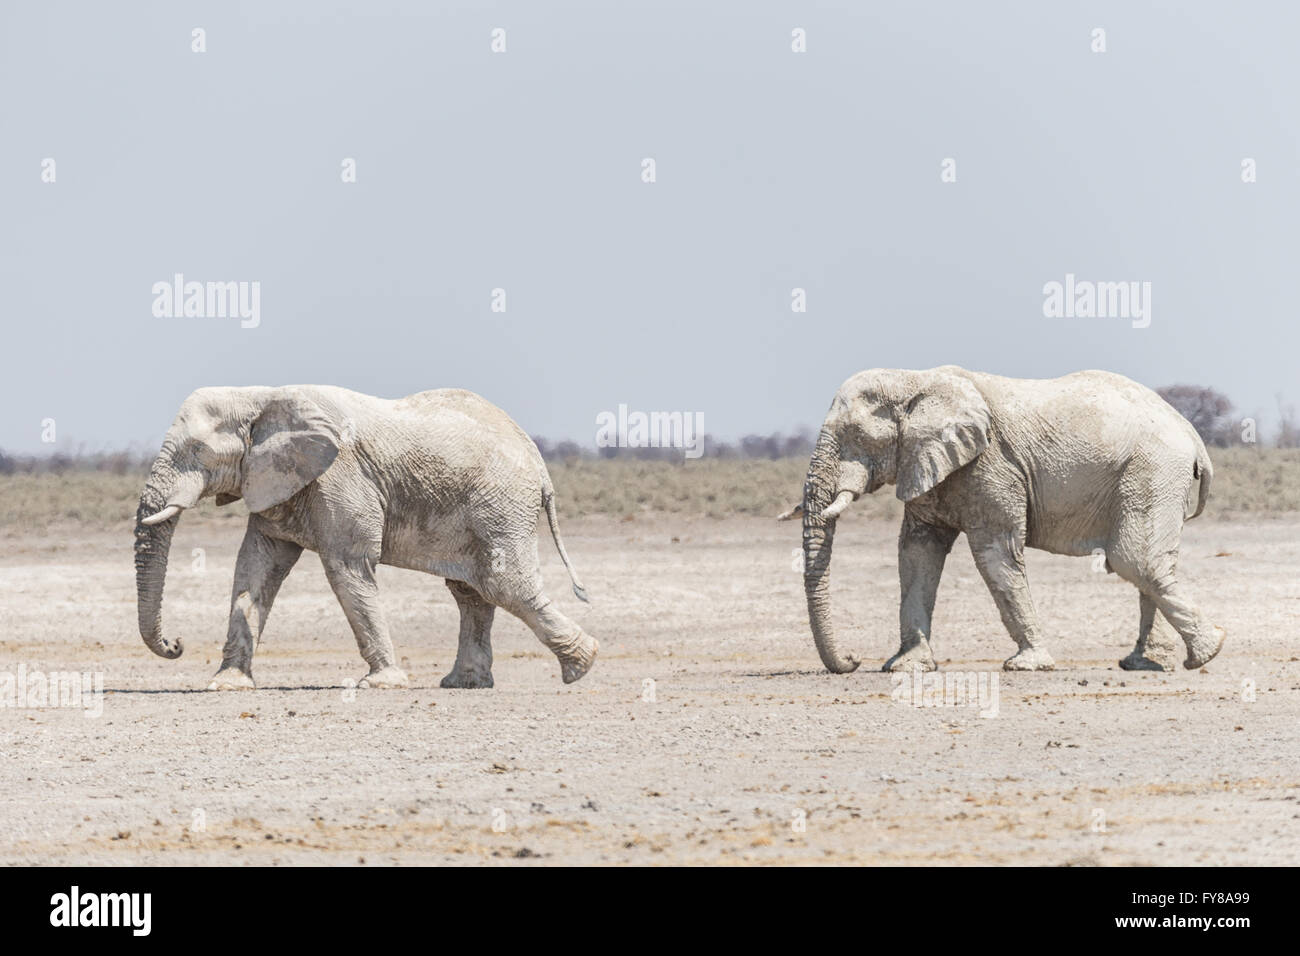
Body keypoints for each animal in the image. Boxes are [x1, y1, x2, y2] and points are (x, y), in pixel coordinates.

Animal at [134, 385, 598, 690]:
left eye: (197, 451)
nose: (176, 643)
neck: (261, 395)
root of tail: (538, 461)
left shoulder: (339, 477)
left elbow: (348, 567)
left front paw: (382, 684)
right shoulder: (275, 479)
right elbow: (255, 567)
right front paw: (228, 684)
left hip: (501, 503)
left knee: (504, 584)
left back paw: (582, 665)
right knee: (471, 591)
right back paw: (463, 683)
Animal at [780, 366, 1226, 674]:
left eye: (854, 436)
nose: (853, 658)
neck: (915, 380)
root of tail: (1192, 433)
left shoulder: (991, 466)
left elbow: (995, 554)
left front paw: (1027, 665)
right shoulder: (925, 464)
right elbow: (917, 554)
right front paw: (907, 666)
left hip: (1152, 470)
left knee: (1134, 559)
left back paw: (1207, 653)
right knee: (1149, 563)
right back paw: (1145, 663)